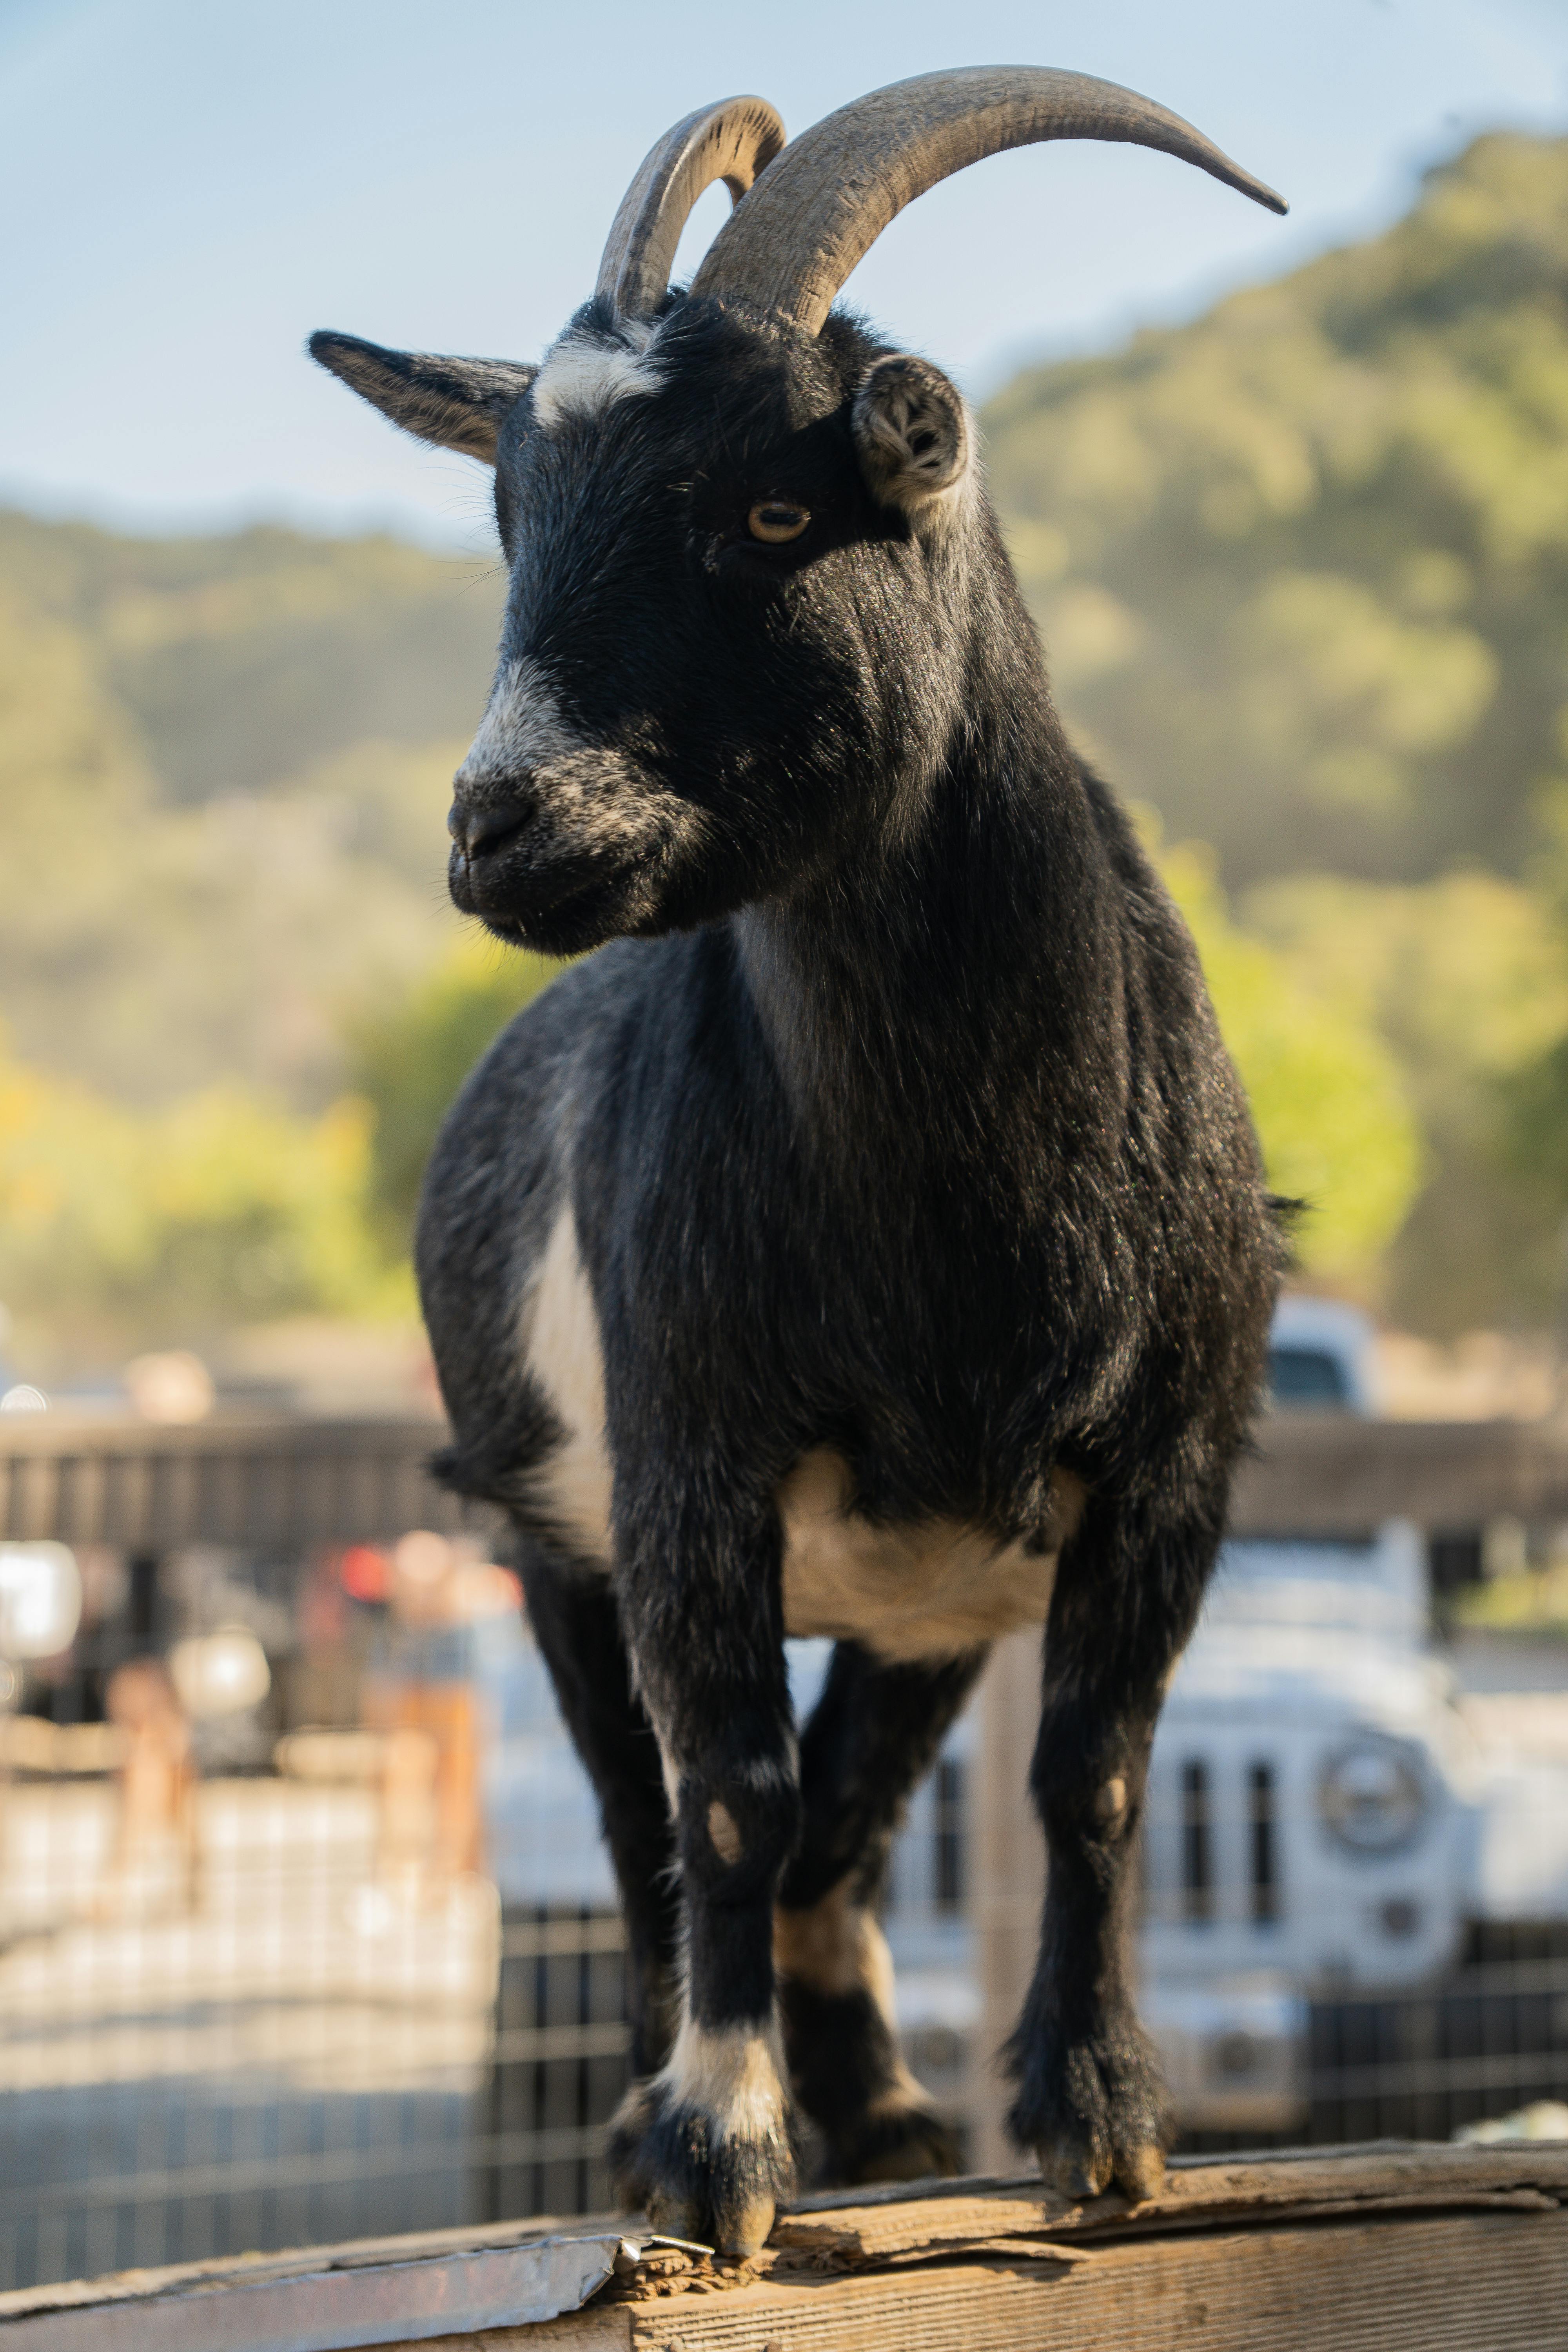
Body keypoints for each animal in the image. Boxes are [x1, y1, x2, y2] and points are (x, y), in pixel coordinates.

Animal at [312, 67, 1288, 2254]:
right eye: (511, 513)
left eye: (769, 510)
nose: (500, 830)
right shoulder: (690, 1456)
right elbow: (726, 1790)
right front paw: (715, 2149)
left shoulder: (1165, 1460)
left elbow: (1090, 1772)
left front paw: (1097, 2121)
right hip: (548, 1540)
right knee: (656, 1819)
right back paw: (661, 2107)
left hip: (923, 1593)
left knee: (849, 1821)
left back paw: (898, 2117)